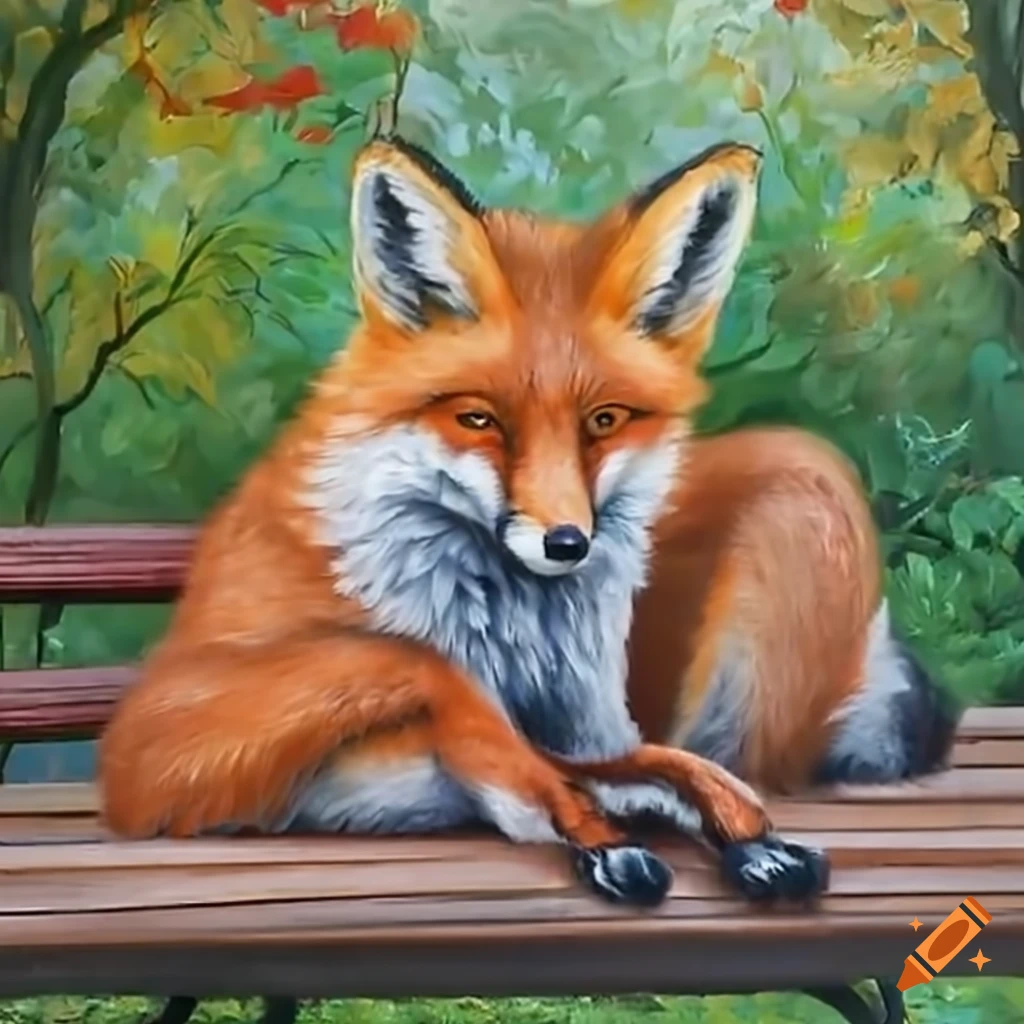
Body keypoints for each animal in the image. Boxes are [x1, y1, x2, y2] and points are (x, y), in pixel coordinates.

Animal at [99, 135, 957, 911]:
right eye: (479, 420)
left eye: (604, 420)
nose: (565, 543)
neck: (516, 641)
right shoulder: (156, 745)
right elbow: (436, 683)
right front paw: (609, 835)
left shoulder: (591, 727)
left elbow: (633, 764)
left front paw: (725, 827)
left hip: (804, 486)